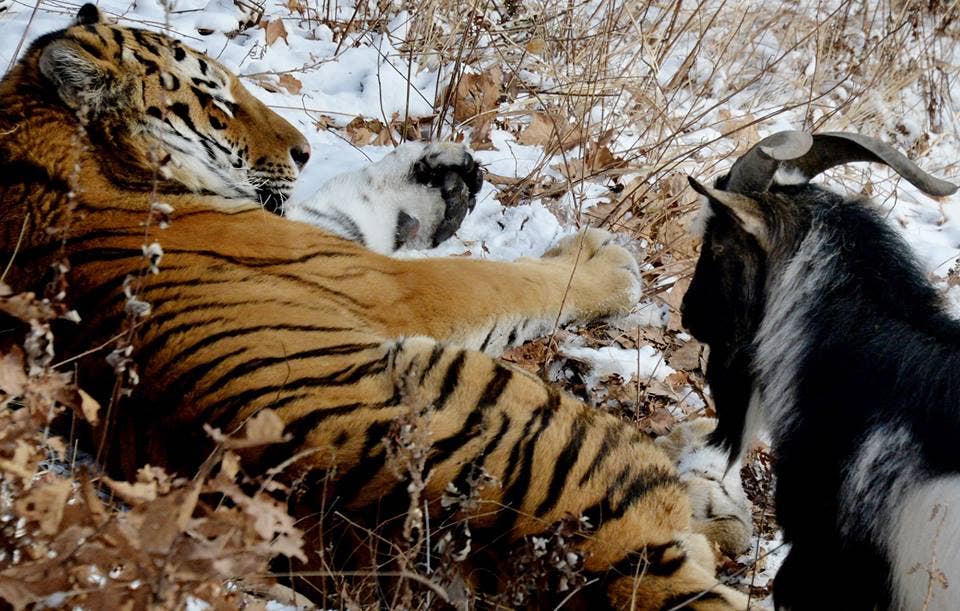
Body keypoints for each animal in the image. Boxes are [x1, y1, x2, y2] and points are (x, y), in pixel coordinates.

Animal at [0, 5, 752, 608]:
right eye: (218, 102)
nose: (304, 150)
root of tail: (588, 566)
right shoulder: (387, 285)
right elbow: (504, 283)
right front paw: (607, 268)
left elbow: (359, 201)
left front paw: (440, 175)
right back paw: (712, 478)